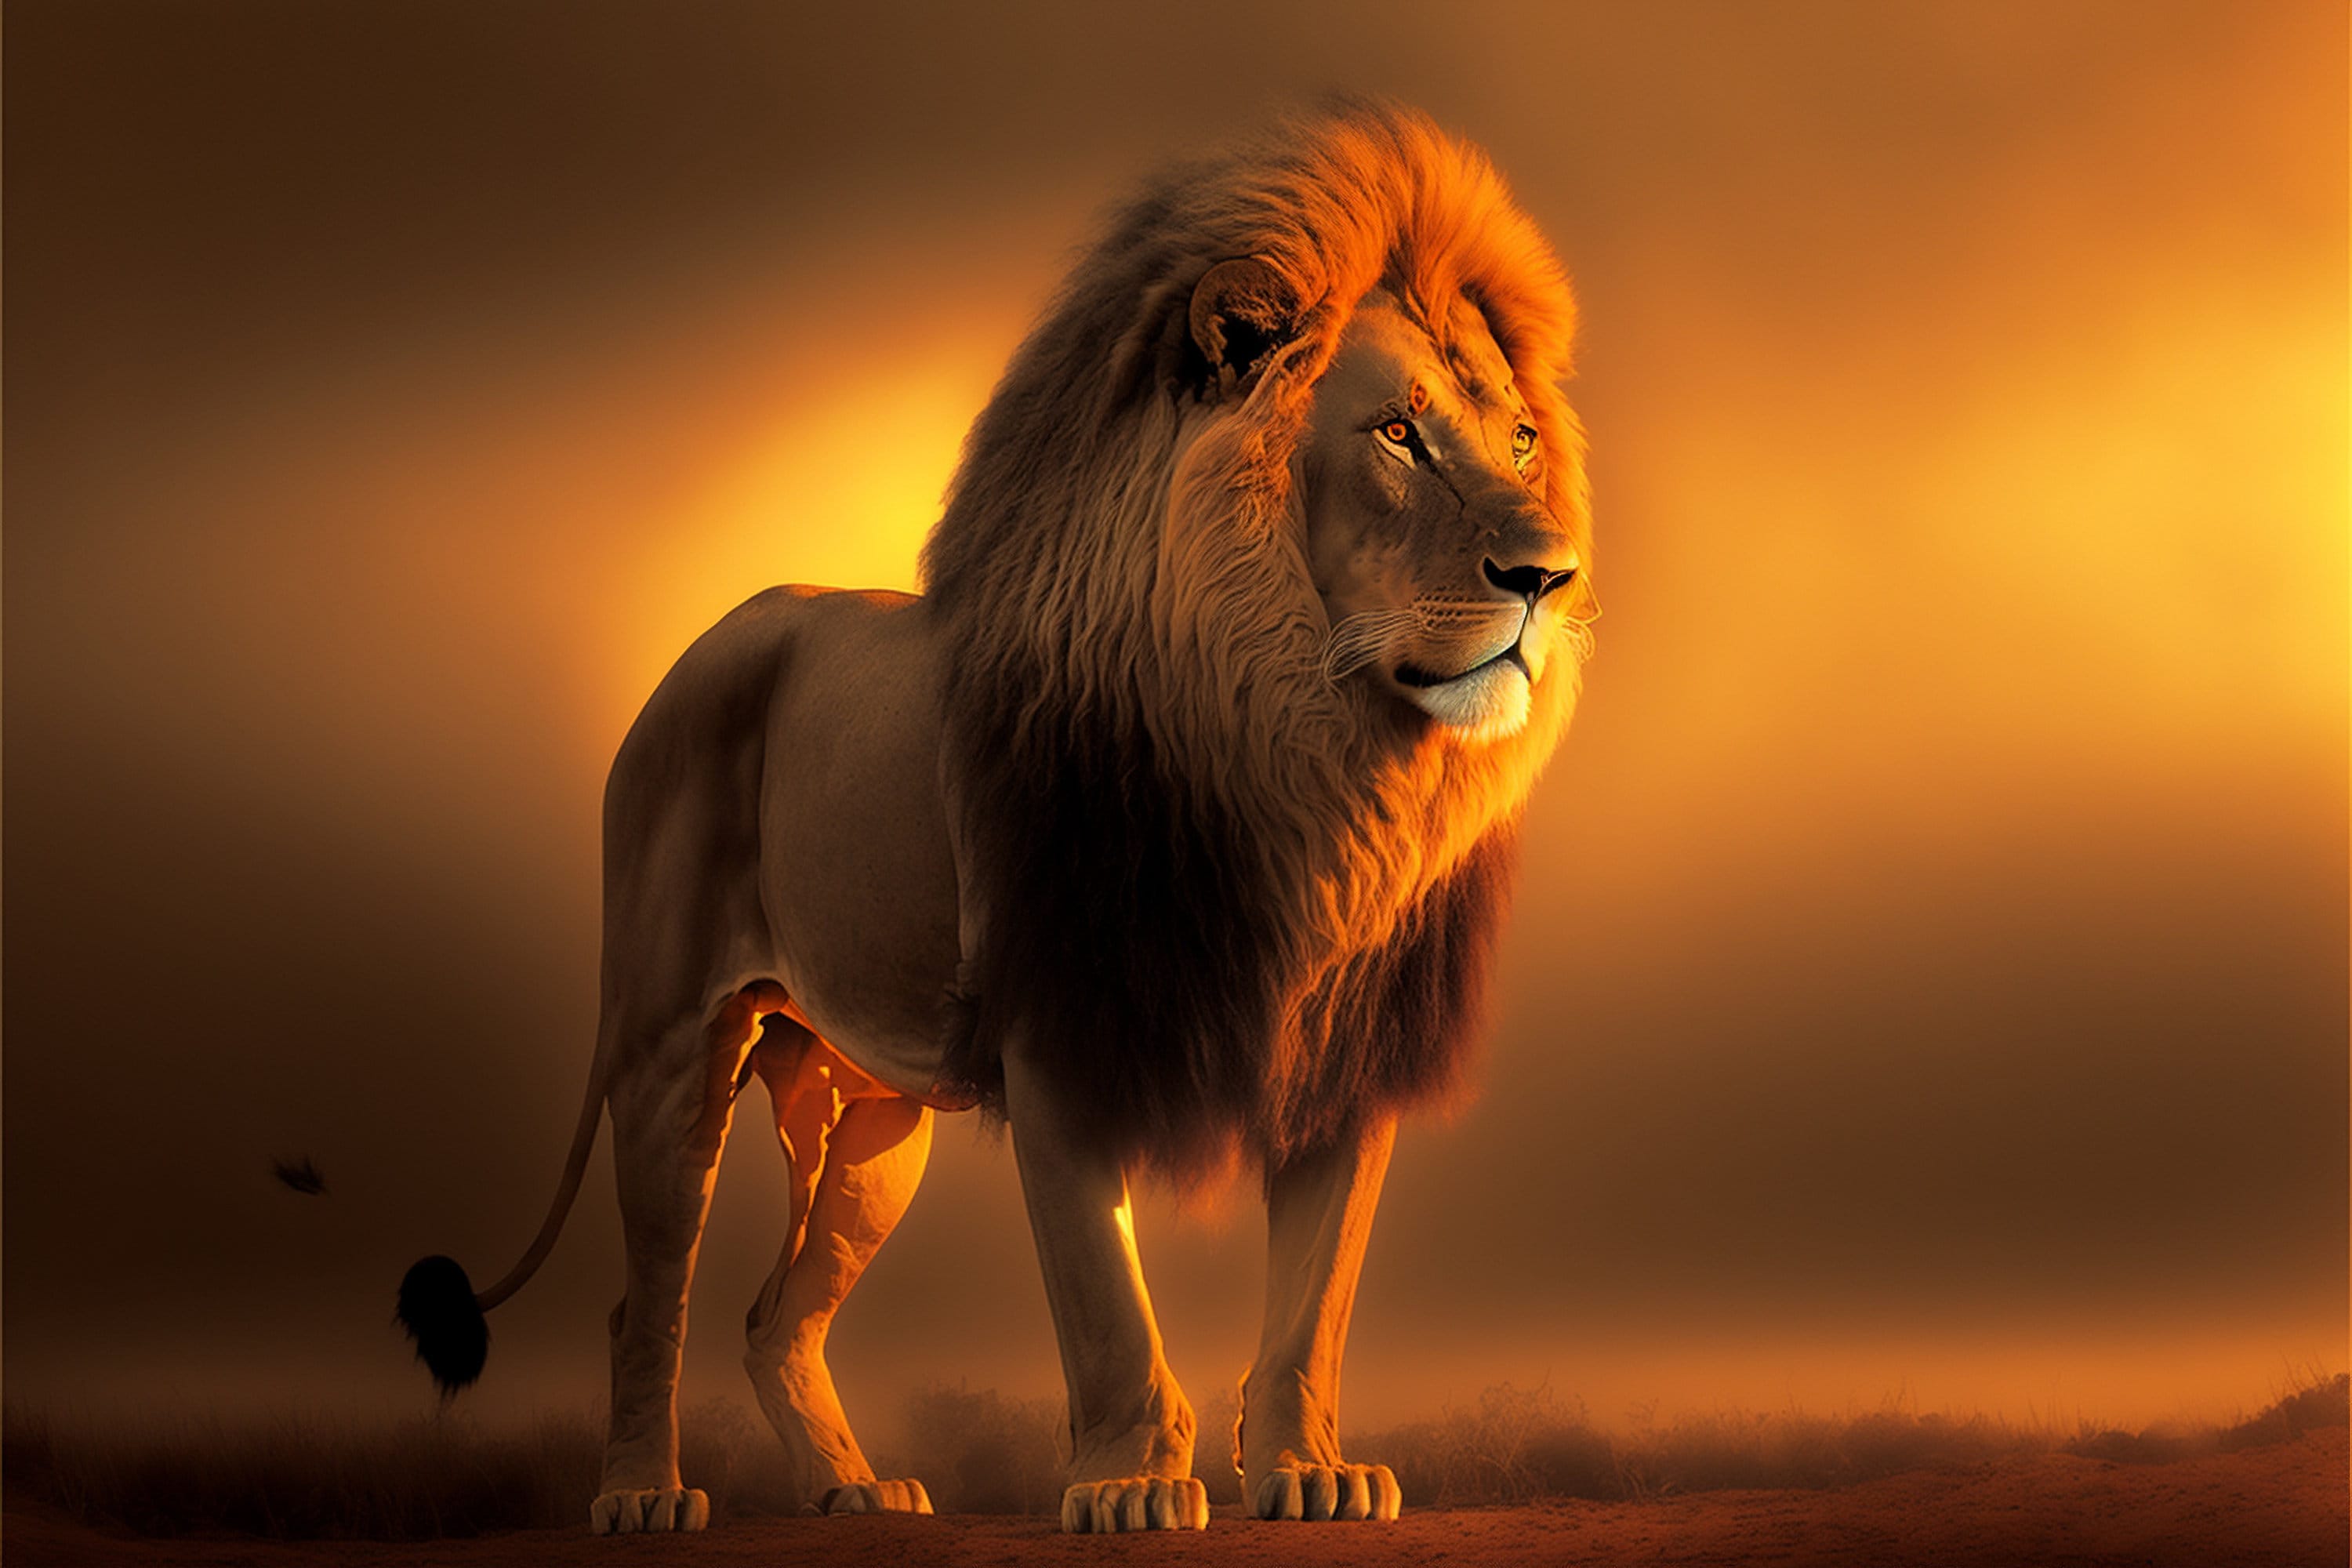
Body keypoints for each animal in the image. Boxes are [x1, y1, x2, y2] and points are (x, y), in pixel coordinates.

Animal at [397, 100, 1593, 1534]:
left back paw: (854, 1491)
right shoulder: (1065, 1018)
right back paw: (642, 1496)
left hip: (874, 1123)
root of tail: (697, 648)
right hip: (670, 1047)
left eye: (1519, 441)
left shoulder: (1343, 1052)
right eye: (1399, 436)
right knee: (652, 1296)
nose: (1549, 573)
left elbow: (1316, 1302)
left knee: (772, 1316)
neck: (1304, 756)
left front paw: (1307, 1474)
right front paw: (1130, 1485)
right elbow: (1102, 1292)